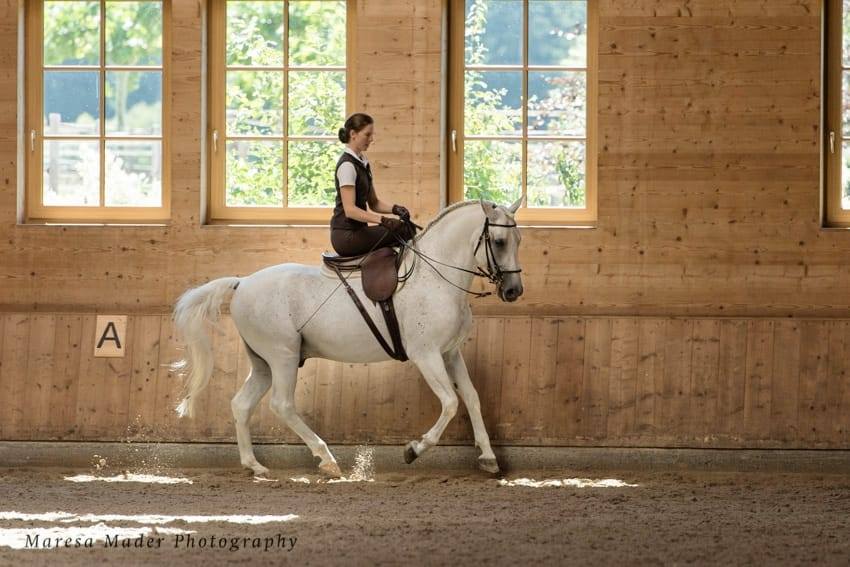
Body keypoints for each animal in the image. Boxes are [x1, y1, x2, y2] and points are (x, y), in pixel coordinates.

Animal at [170, 198, 524, 477]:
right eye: (499, 241)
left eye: (518, 239)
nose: (513, 291)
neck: (435, 278)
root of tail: (242, 282)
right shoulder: (427, 355)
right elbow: (450, 403)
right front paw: (414, 449)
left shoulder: (450, 353)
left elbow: (472, 398)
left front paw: (488, 458)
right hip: (283, 356)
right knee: (282, 404)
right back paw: (326, 459)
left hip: (263, 362)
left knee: (242, 405)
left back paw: (254, 465)